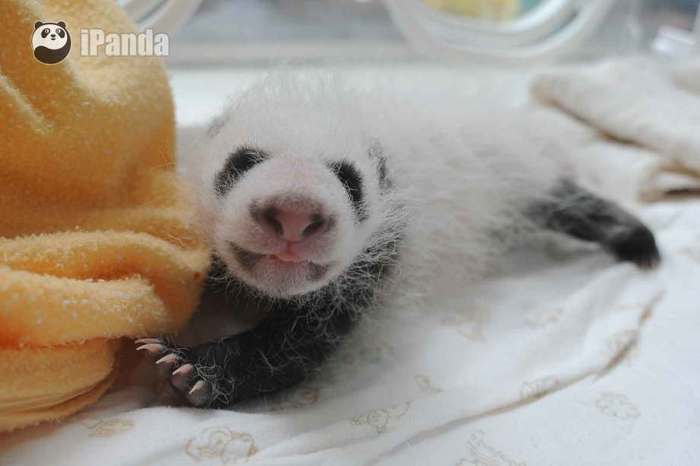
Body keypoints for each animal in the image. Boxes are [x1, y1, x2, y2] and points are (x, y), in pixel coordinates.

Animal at [136, 73, 660, 408]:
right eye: (243, 163)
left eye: (350, 181)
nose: (294, 213)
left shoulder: (381, 246)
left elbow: (302, 341)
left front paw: (187, 369)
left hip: (520, 172)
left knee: (574, 203)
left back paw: (638, 242)